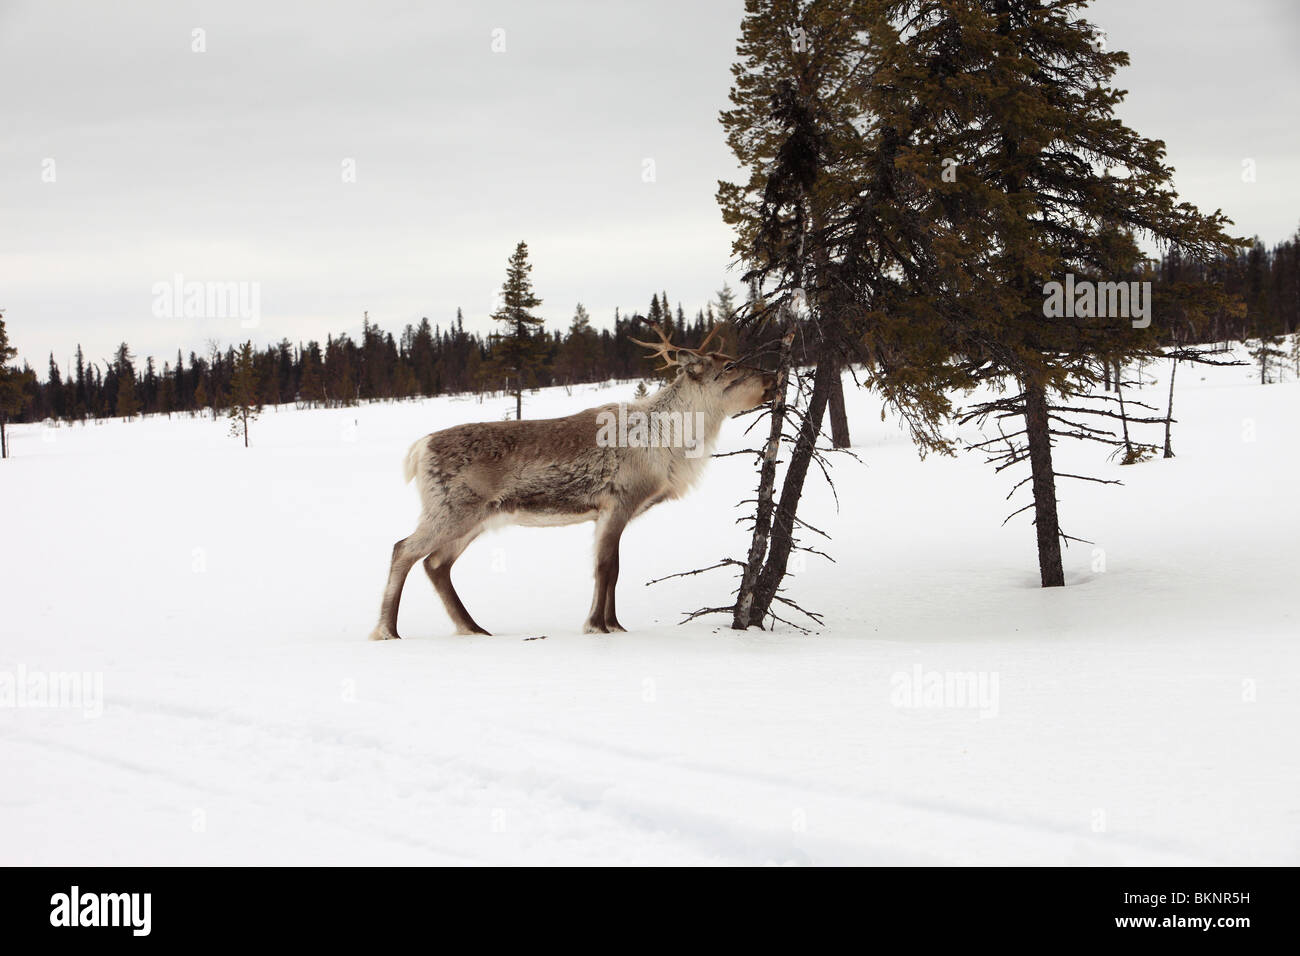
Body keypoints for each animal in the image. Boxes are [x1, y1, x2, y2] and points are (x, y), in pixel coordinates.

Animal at [368, 325, 776, 640]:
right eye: (730, 366)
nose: (773, 377)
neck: (669, 443)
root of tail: (419, 449)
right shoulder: (618, 501)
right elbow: (606, 567)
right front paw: (597, 625)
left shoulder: (605, 512)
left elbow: (612, 568)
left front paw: (614, 625)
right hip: (451, 509)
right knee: (403, 549)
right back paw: (387, 630)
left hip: (477, 518)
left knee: (436, 564)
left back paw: (473, 628)